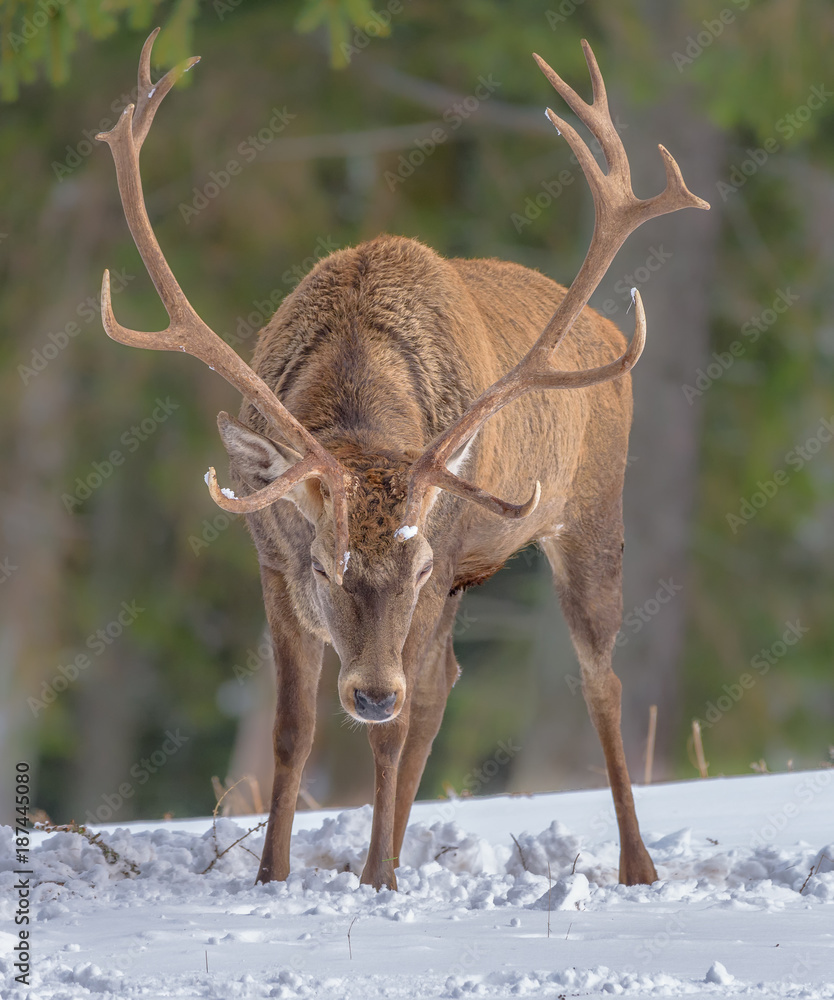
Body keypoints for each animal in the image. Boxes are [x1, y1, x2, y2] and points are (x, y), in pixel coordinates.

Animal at [97, 30, 709, 891]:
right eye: (323, 564)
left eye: (411, 567)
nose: (370, 693)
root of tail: (599, 323)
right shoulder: (271, 562)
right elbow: (293, 729)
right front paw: (274, 875)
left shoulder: (438, 567)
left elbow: (392, 732)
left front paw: (378, 882)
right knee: (441, 686)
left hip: (589, 516)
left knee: (596, 680)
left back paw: (637, 866)